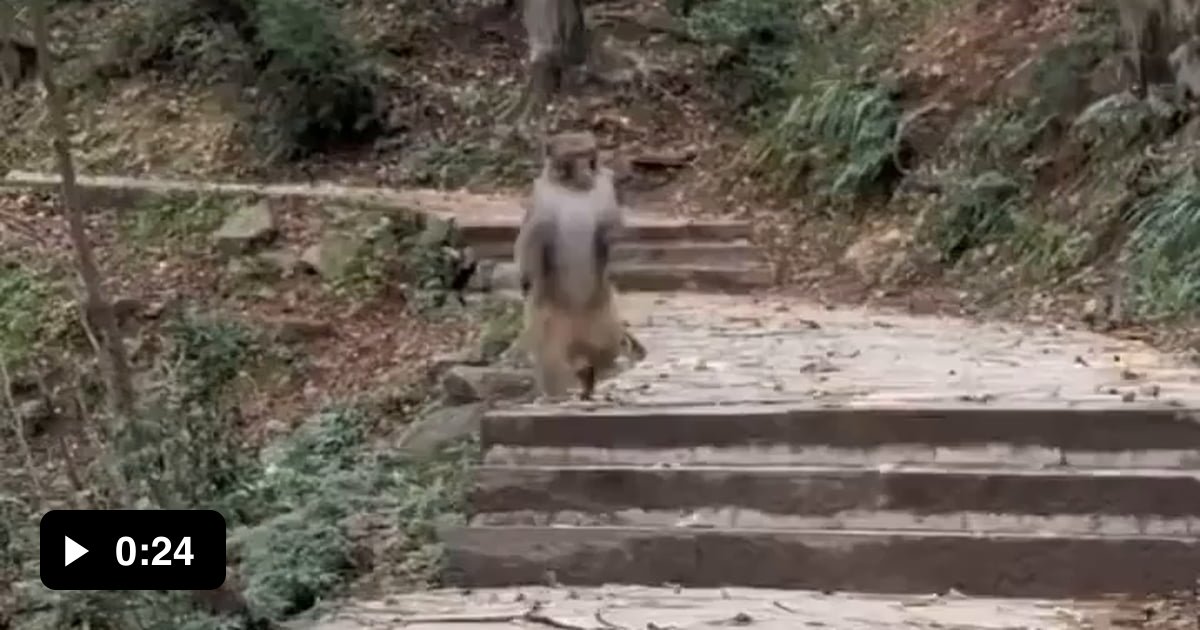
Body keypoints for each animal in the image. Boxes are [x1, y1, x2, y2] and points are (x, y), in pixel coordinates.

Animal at [515, 131, 630, 401]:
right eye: (573, 156)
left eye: (588, 154)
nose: (586, 170)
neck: (574, 189)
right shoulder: (541, 196)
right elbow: (534, 236)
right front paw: (525, 278)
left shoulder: (605, 188)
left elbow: (610, 229)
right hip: (551, 317)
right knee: (552, 357)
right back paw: (559, 390)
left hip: (601, 314)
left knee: (606, 347)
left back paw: (590, 375)